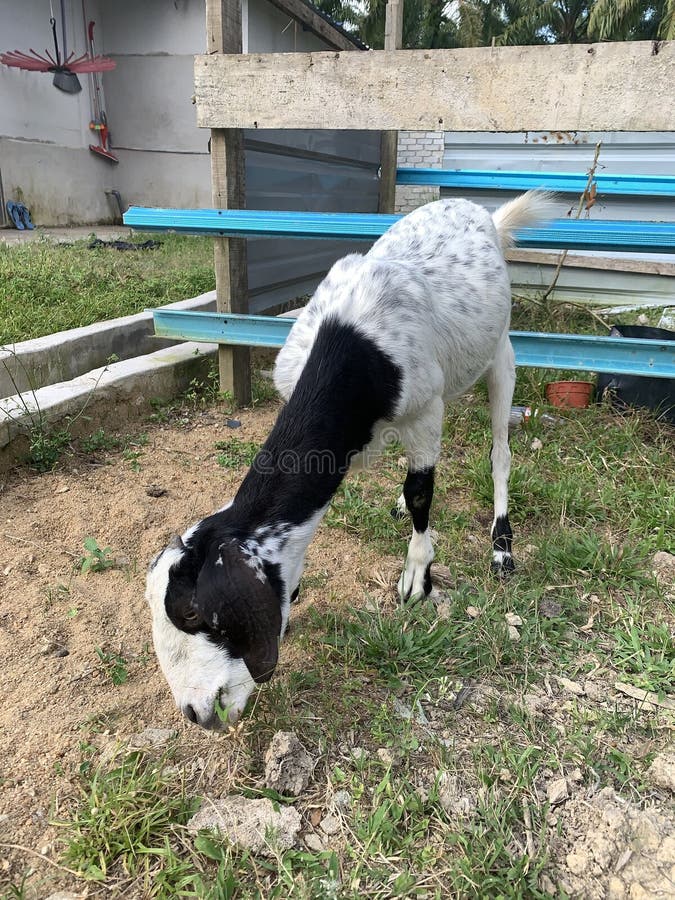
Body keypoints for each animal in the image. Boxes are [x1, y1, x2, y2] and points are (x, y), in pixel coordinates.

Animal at [146, 191, 555, 730]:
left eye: (194, 613)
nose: (195, 712)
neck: (351, 349)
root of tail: (477, 210)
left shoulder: (425, 410)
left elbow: (421, 491)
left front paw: (417, 576)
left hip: (501, 351)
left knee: (500, 453)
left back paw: (502, 544)